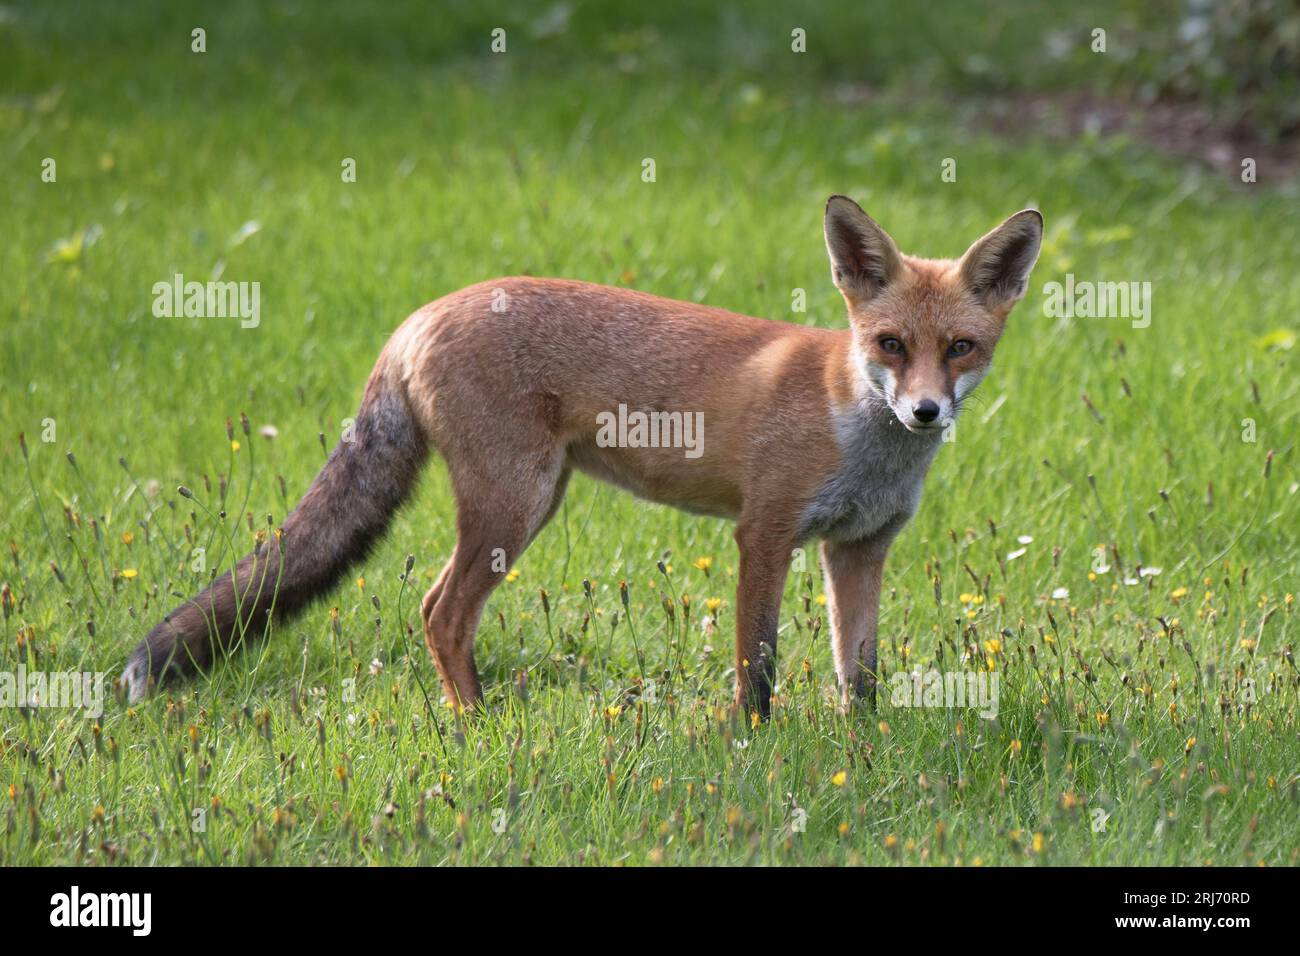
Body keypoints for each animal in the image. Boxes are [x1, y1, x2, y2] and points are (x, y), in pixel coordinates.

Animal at [123, 196, 1043, 718]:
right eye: (890, 344)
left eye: (960, 348)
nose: (924, 412)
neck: (857, 432)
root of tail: (419, 315)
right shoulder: (766, 532)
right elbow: (758, 667)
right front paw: (757, 747)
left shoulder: (858, 550)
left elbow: (862, 675)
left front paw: (865, 750)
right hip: (517, 505)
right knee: (439, 612)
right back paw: (478, 727)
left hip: (532, 500)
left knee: (432, 606)